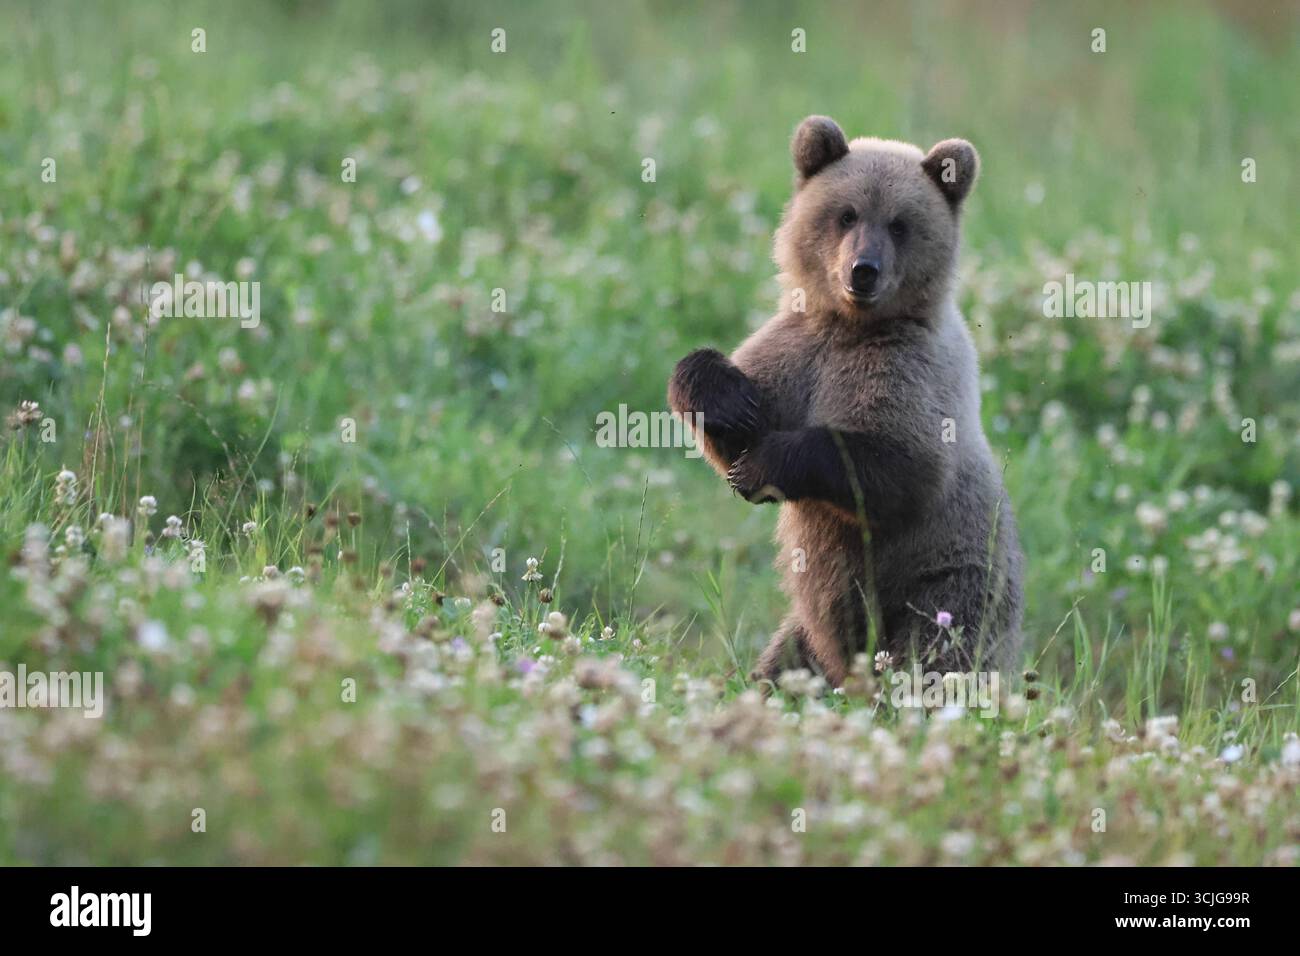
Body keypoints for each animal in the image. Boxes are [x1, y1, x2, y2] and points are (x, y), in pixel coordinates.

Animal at [668, 115, 1023, 687]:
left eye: (899, 224)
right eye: (846, 213)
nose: (863, 270)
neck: (852, 326)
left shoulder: (909, 375)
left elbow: (896, 466)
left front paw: (764, 464)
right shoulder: (798, 353)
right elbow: (726, 421)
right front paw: (727, 401)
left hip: (947, 593)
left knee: (938, 661)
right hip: (805, 638)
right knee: (783, 665)